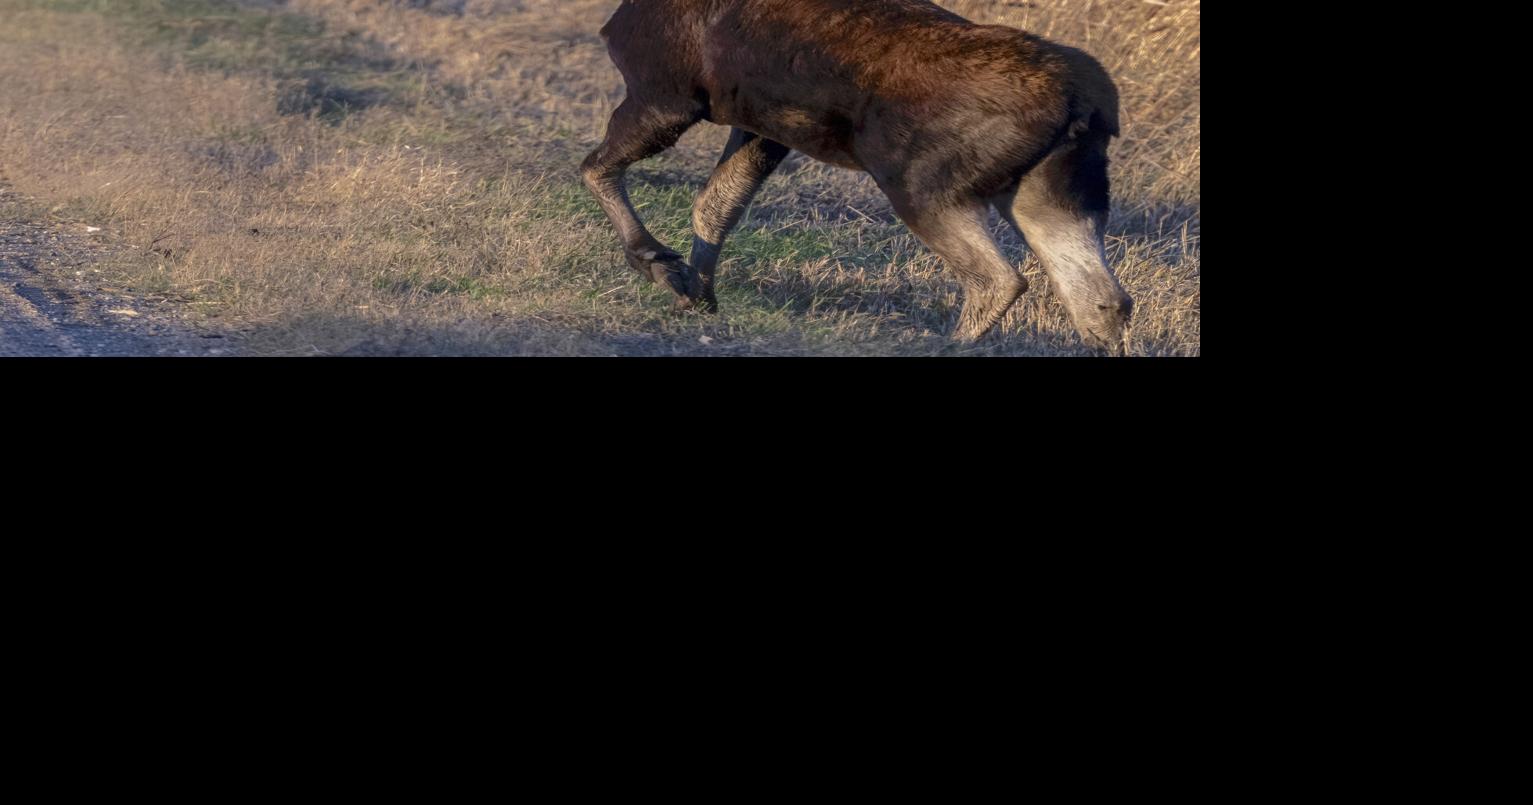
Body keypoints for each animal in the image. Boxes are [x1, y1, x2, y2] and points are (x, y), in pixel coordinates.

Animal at [580, 0, 1133, 351]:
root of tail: (1086, 104)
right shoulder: (760, 125)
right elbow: (715, 206)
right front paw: (697, 297)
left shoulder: (667, 91)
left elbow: (596, 168)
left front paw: (660, 265)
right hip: (1053, 190)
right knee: (1101, 297)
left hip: (918, 182)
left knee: (999, 279)